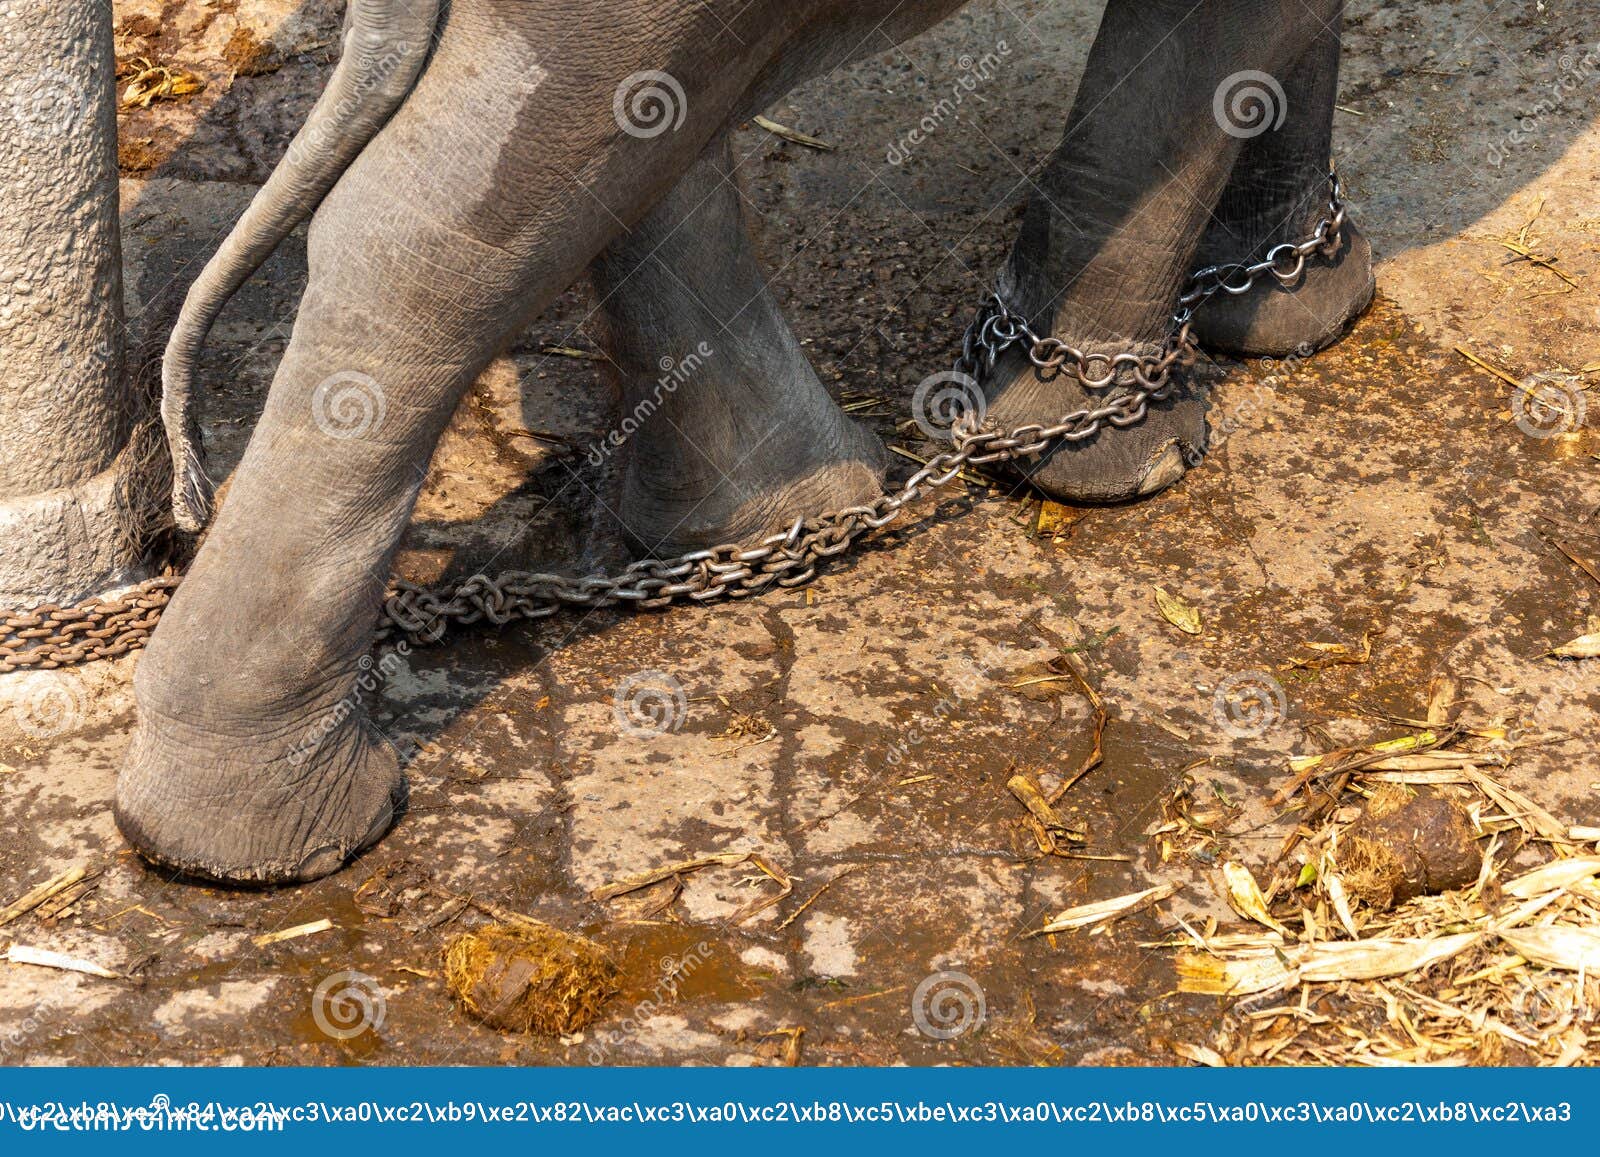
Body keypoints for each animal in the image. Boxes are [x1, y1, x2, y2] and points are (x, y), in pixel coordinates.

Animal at [115, 0, 1376, 885]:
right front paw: (1116, 451)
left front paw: (1290, 301)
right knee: (445, 204)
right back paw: (253, 840)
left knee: (639, 120)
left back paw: (780, 516)